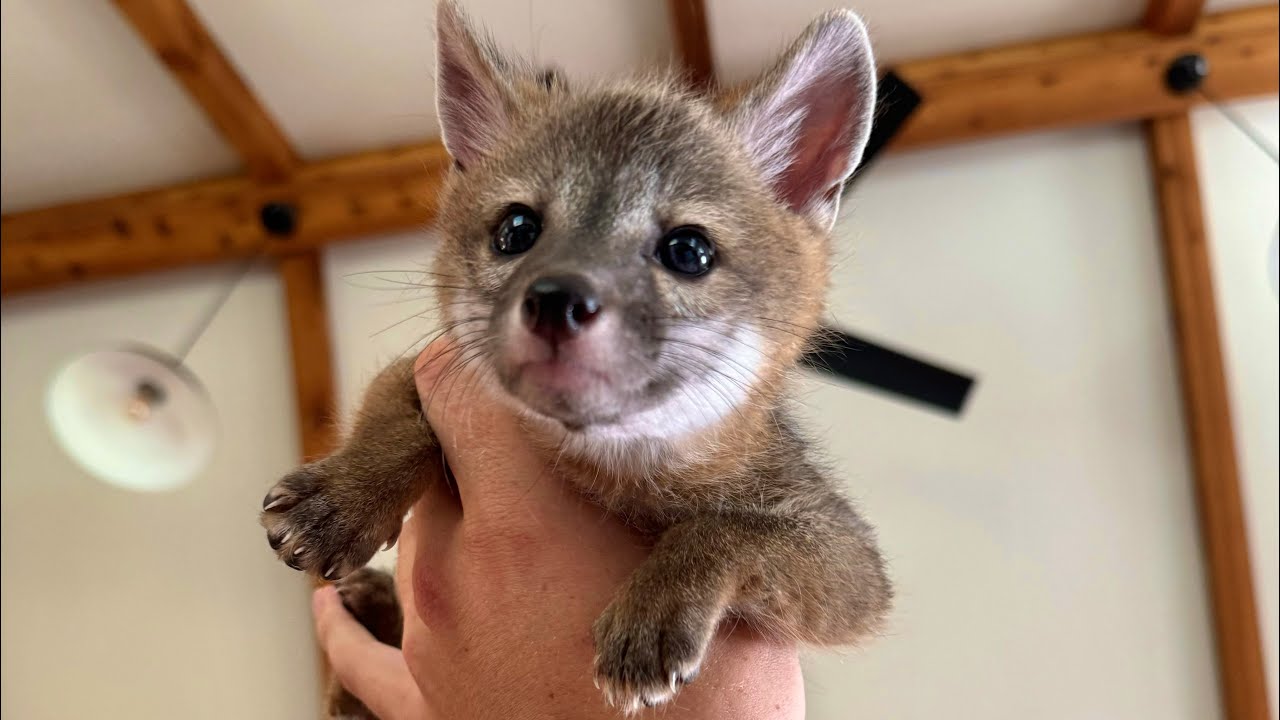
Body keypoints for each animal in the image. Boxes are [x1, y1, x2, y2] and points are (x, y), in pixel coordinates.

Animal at [261, 1, 892, 715]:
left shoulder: (851, 564)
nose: (557, 300)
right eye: (517, 230)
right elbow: (395, 425)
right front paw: (342, 501)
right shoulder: (426, 368)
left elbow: (726, 528)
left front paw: (654, 609)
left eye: (689, 251)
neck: (602, 470)